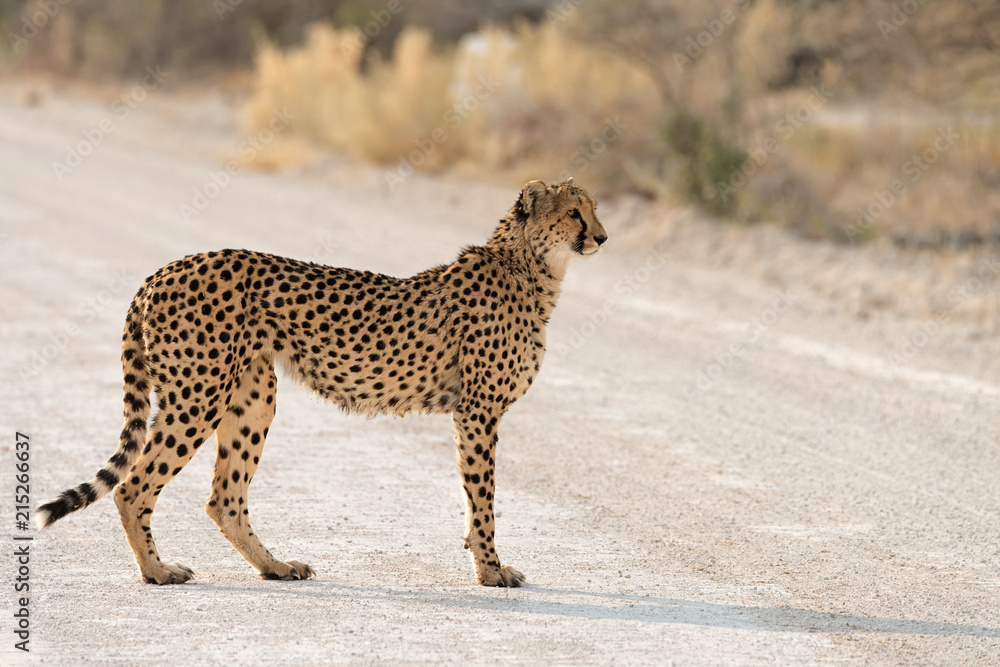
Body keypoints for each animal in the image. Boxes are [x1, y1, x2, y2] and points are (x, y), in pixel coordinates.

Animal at [36, 178, 607, 588]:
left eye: (595, 207)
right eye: (573, 212)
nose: (602, 237)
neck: (532, 268)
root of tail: (164, 270)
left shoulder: (473, 412)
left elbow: (477, 498)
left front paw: (485, 563)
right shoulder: (478, 411)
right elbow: (482, 499)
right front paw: (490, 569)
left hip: (252, 398)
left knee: (224, 497)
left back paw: (274, 566)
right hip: (198, 396)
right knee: (133, 486)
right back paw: (157, 571)